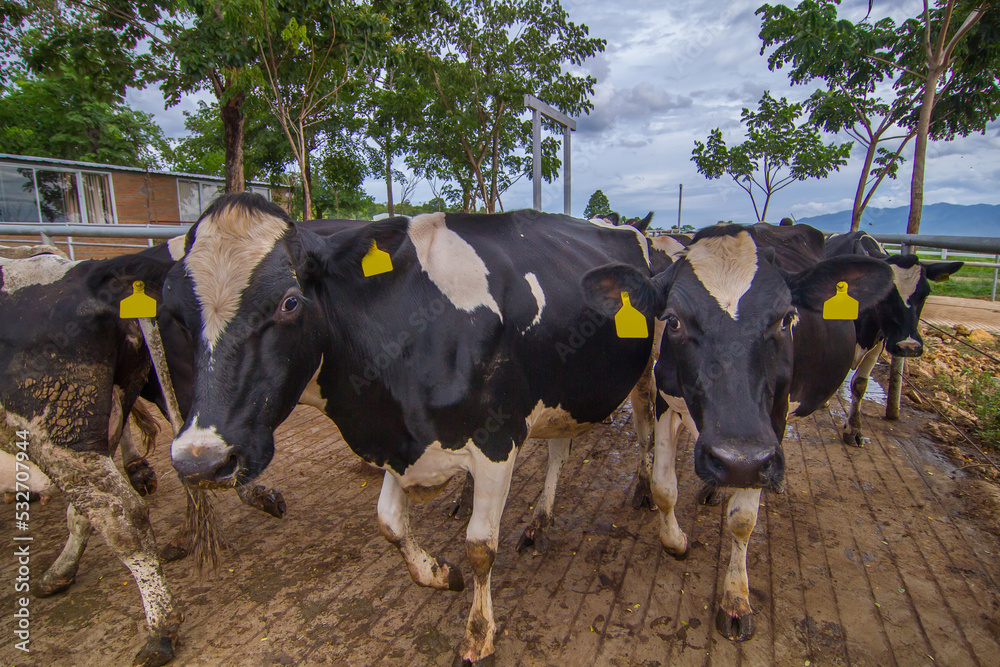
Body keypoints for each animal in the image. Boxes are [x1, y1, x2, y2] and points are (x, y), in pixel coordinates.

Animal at [106, 193, 658, 664]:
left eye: (290, 302)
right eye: (175, 315)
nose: (199, 460)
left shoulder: (496, 440)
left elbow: (481, 546)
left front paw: (478, 634)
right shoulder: (398, 438)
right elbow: (390, 524)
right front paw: (440, 574)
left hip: (647, 374)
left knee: (647, 432)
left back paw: (646, 492)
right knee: (561, 446)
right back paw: (540, 520)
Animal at [582, 223, 896, 642]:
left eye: (786, 318)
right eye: (674, 320)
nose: (737, 459)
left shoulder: (767, 430)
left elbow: (743, 518)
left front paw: (735, 598)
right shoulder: (666, 402)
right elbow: (664, 489)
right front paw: (677, 541)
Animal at [825, 231, 963, 444]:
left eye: (926, 294)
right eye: (884, 293)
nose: (908, 347)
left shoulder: (879, 342)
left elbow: (859, 385)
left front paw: (854, 428)